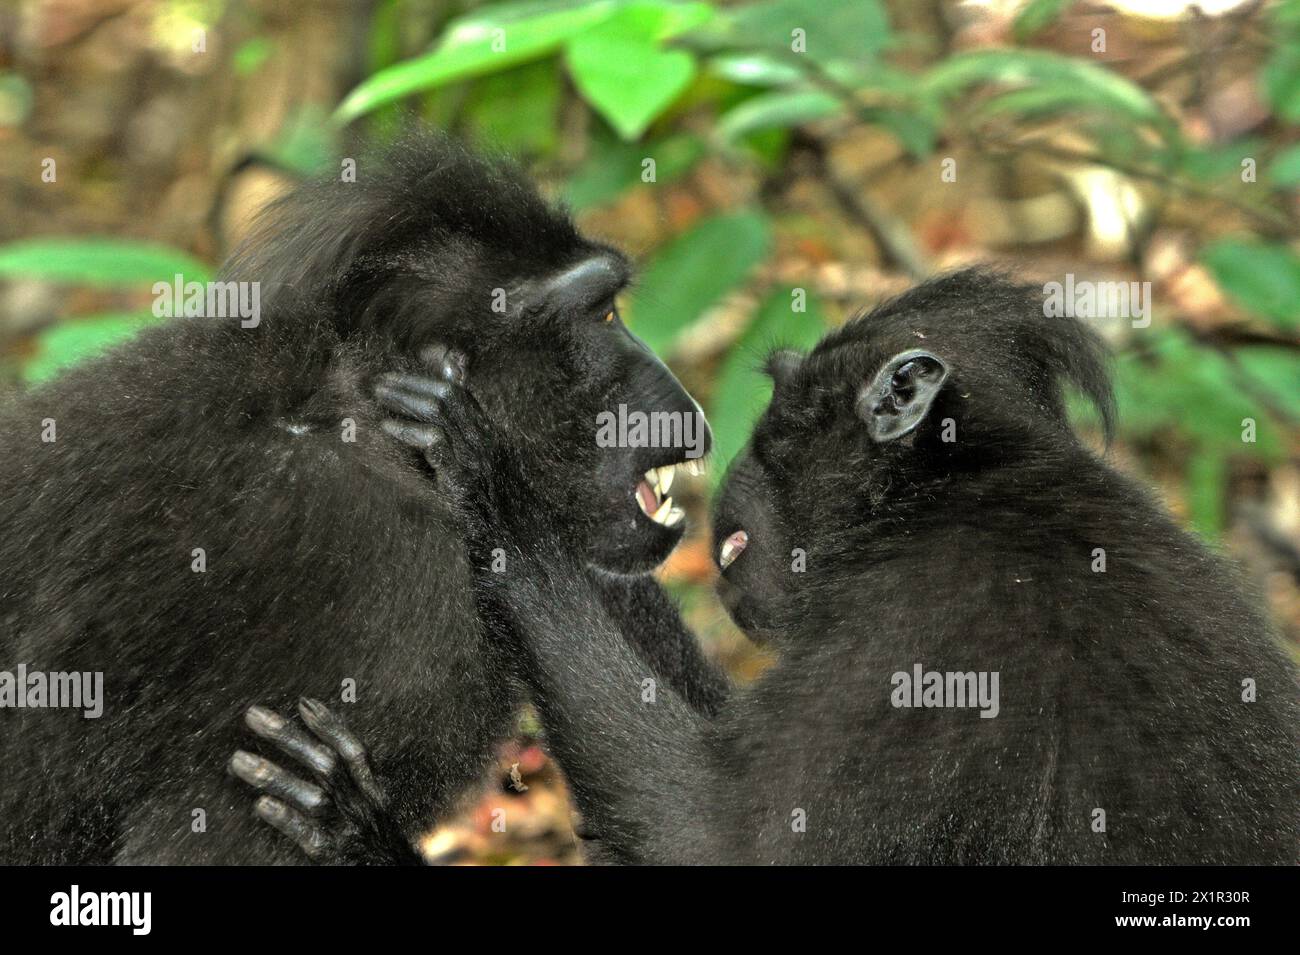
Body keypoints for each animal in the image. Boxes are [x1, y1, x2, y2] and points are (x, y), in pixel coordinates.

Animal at [254, 268, 1297, 864]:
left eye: (783, 409)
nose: (730, 459)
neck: (939, 501)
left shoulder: (919, 639)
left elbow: (715, 836)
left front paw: (492, 482)